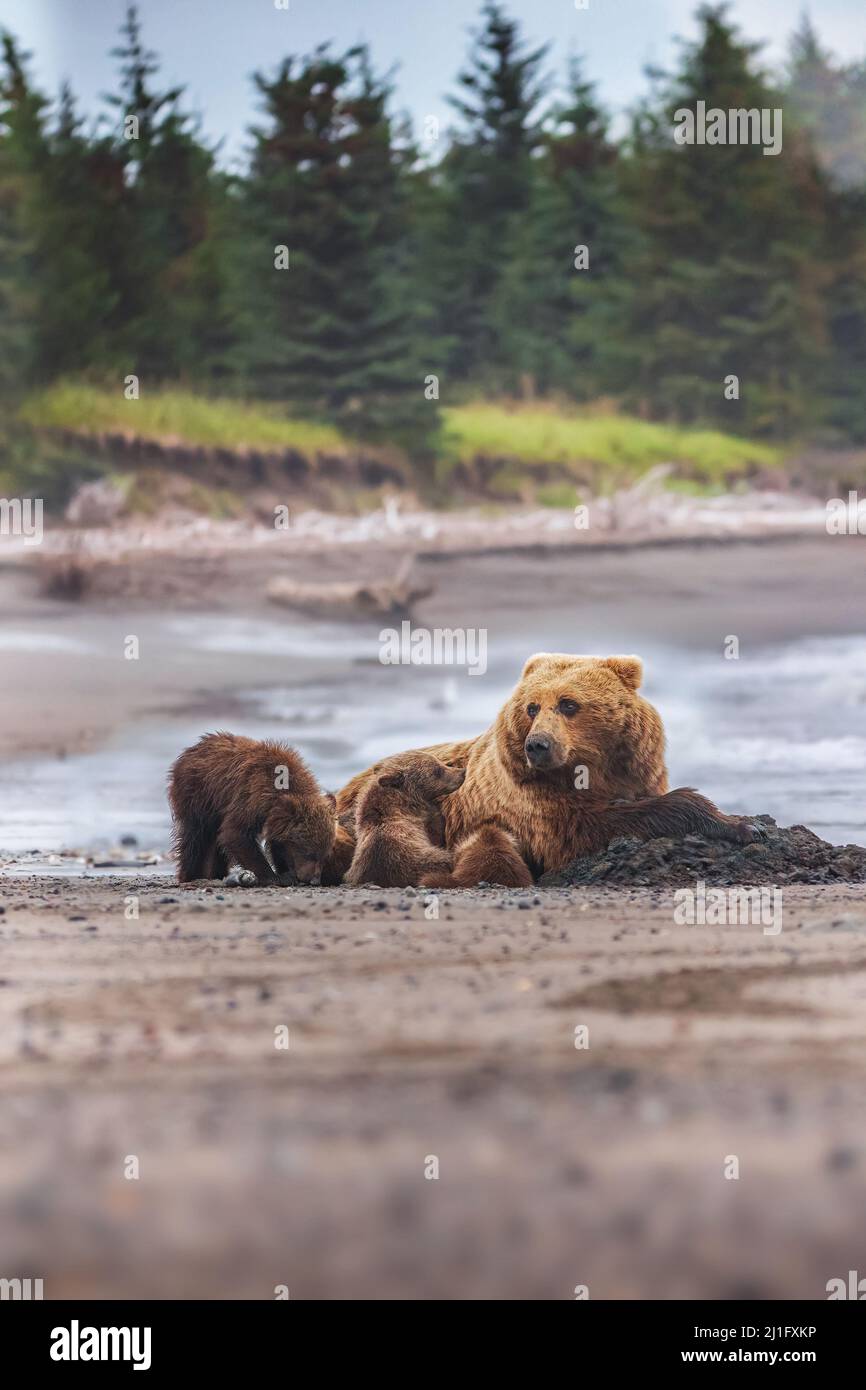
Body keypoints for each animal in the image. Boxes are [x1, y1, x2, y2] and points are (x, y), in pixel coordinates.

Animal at [168, 732, 336, 886]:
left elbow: (279, 844)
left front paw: (286, 871)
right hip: (198, 795)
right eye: (309, 852)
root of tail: (190, 751)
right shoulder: (251, 795)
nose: (314, 880)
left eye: (325, 855)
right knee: (195, 838)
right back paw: (190, 875)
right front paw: (275, 877)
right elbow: (235, 833)